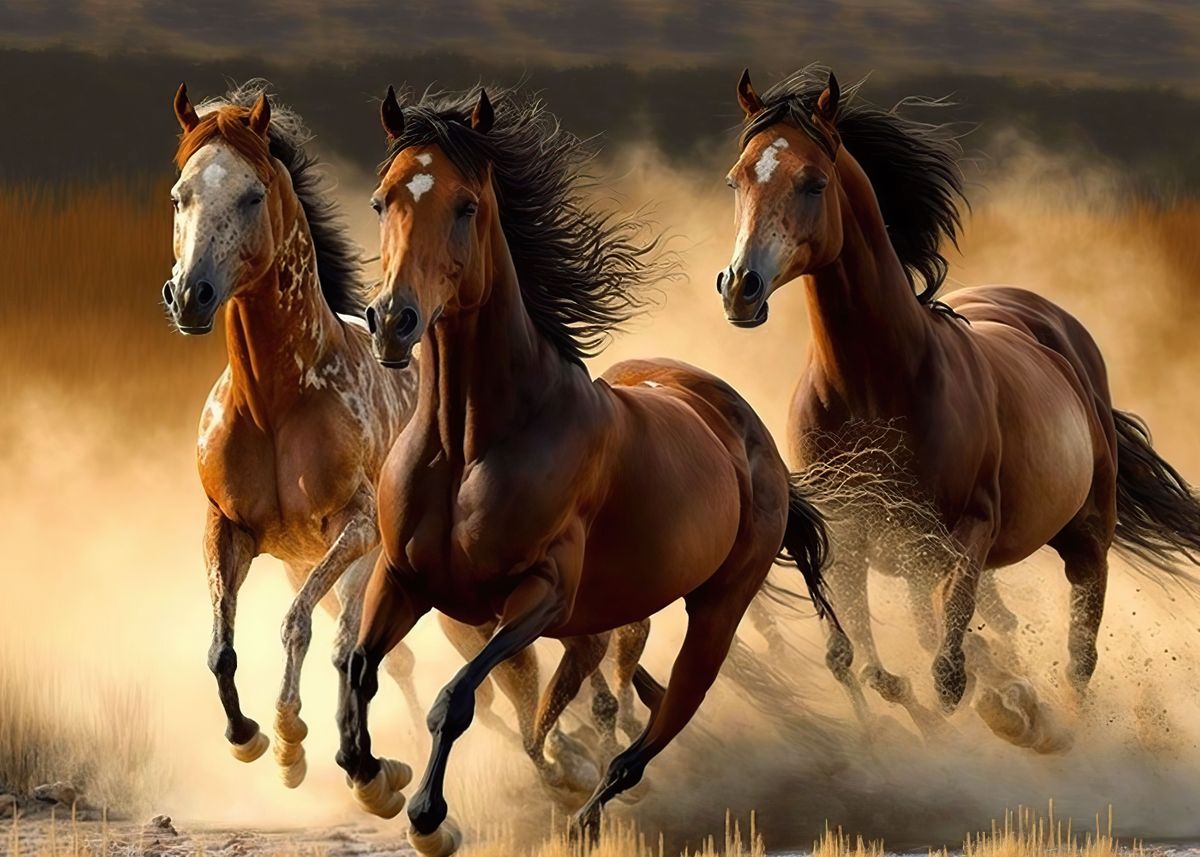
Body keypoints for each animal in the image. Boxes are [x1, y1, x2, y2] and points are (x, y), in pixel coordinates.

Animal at [165, 81, 652, 797]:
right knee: (512, 669)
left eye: (252, 196)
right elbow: (223, 646)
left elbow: (302, 628)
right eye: (181, 195)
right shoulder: (228, 528)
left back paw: (585, 742)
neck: (276, 402)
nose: (190, 296)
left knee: (560, 656)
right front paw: (252, 739)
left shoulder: (358, 529)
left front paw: (292, 740)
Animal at [334, 84, 834, 856]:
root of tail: (753, 438)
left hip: (714, 613)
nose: (393, 320)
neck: (470, 440)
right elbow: (361, 669)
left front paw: (427, 817)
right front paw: (374, 777)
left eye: (465, 206)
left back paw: (585, 817)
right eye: (382, 199)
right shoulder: (405, 576)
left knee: (653, 732)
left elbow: (457, 699)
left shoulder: (541, 593)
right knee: (622, 696)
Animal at [716, 65, 1200, 728]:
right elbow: (859, 663)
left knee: (1077, 658)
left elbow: (946, 674)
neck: (875, 388)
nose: (740, 288)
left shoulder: (967, 534)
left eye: (813, 182)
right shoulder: (849, 536)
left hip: (1085, 543)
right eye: (737, 179)